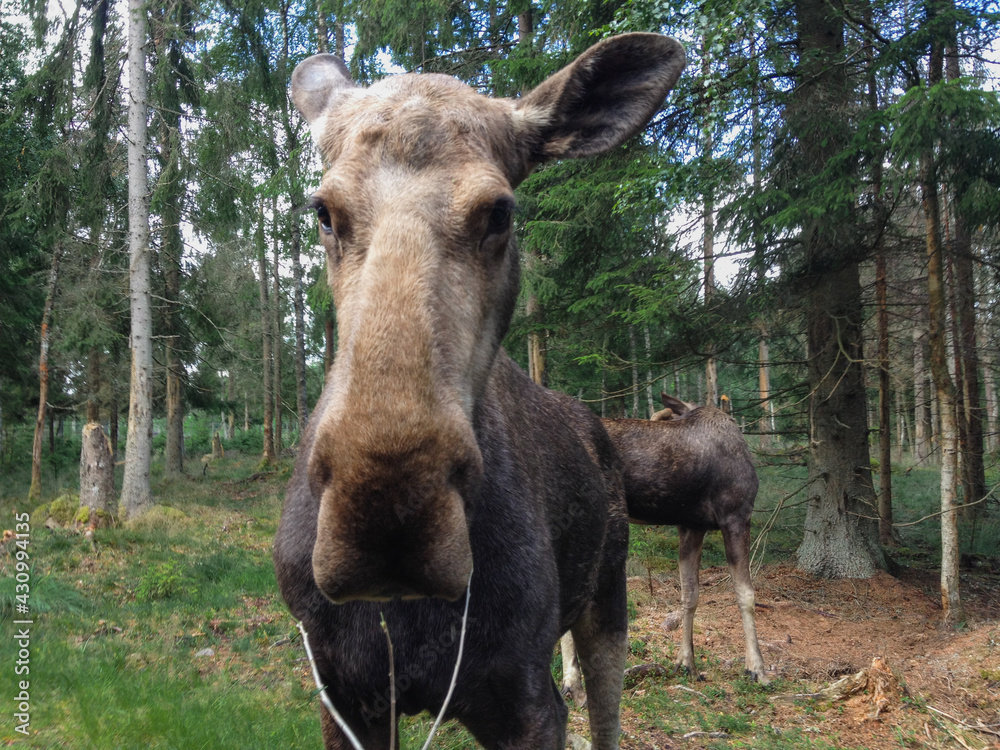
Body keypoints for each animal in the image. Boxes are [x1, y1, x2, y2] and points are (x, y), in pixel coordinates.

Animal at [272, 35, 686, 750]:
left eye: (501, 211)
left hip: (608, 599)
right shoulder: (344, 696)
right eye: (322, 210)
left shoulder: (525, 700)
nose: (385, 511)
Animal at [561, 393, 768, 703]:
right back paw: (574, 685)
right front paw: (757, 668)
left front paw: (687, 663)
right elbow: (746, 595)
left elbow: (689, 595)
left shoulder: (692, 526)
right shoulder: (736, 515)